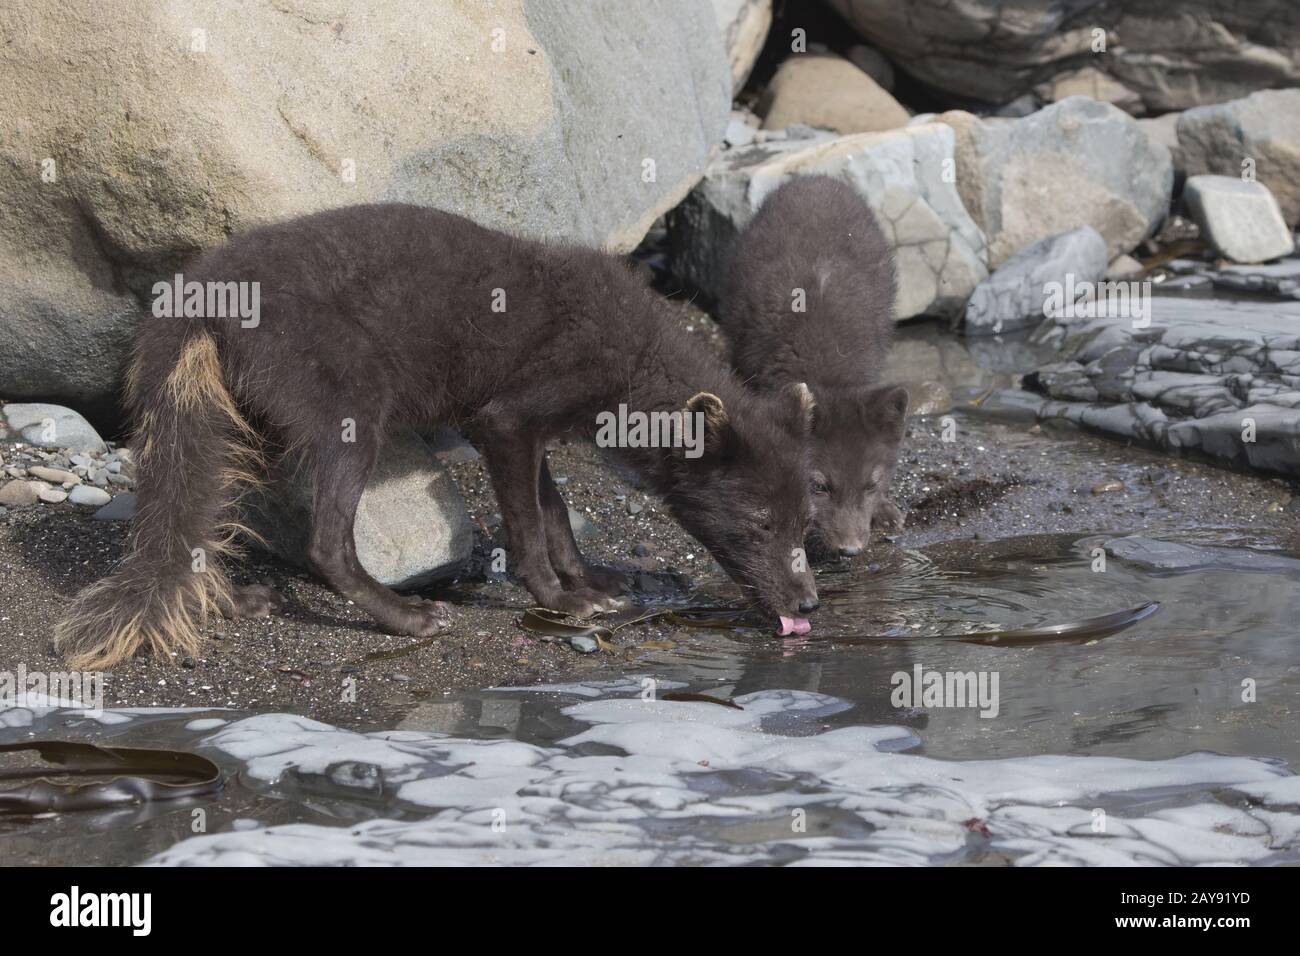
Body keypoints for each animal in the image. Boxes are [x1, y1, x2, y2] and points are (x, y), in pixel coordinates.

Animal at [55, 203, 822, 669]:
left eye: (803, 520)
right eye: (759, 521)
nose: (809, 605)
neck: (632, 354)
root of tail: (195, 293)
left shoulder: (527, 430)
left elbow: (556, 511)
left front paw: (596, 580)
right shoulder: (505, 419)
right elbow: (529, 528)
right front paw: (561, 599)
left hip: (244, 419)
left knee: (211, 516)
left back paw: (236, 600)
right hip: (351, 405)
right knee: (325, 543)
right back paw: (406, 617)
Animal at [719, 175, 908, 560]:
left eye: (870, 485)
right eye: (820, 486)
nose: (851, 550)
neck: (825, 365)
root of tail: (816, 179)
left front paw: (884, 509)